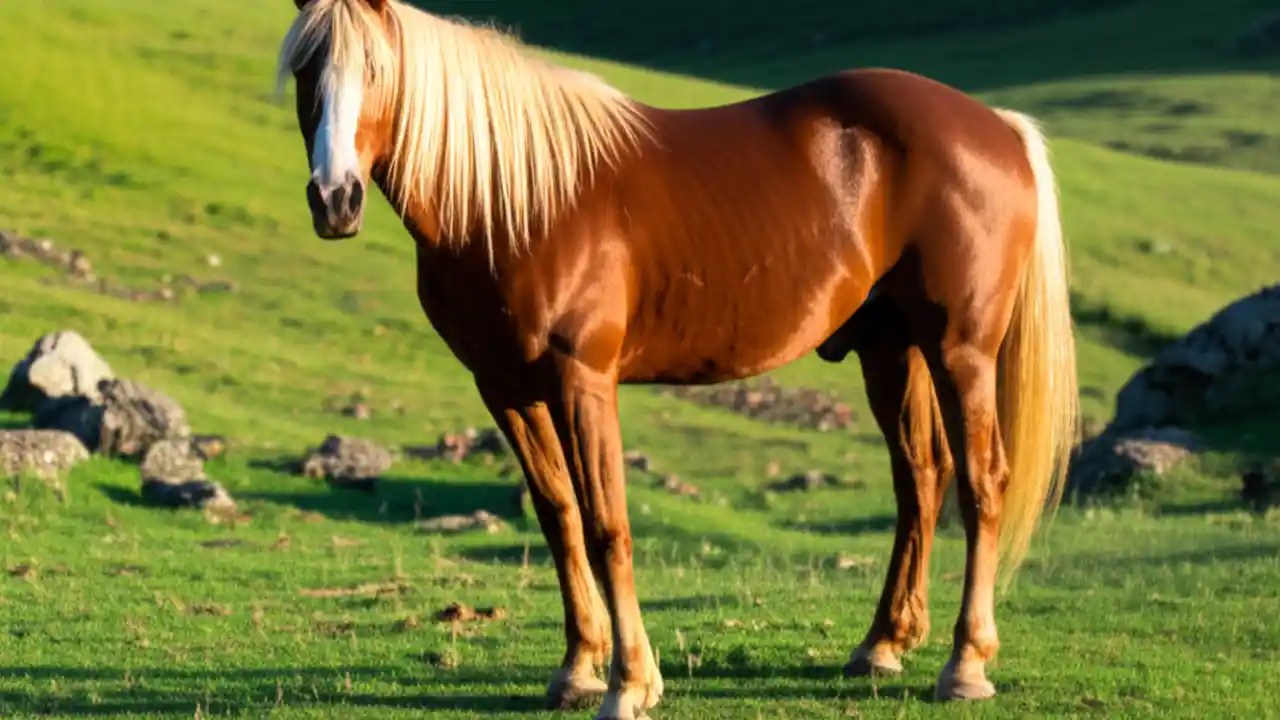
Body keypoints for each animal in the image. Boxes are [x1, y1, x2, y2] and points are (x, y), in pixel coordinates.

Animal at [276, 1, 1080, 717]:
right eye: (306, 71)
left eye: (377, 69)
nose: (335, 199)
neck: (521, 202)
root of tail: (997, 127)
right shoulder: (504, 389)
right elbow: (559, 518)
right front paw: (578, 670)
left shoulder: (582, 382)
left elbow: (607, 525)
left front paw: (630, 685)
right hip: (890, 349)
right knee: (921, 478)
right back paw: (882, 646)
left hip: (959, 351)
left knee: (981, 480)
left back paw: (965, 664)